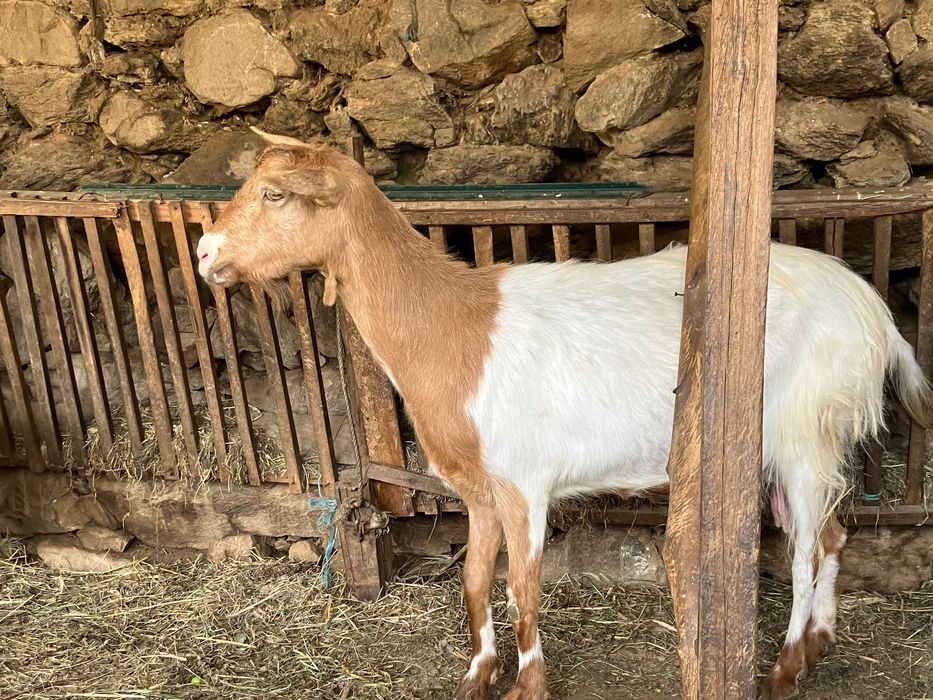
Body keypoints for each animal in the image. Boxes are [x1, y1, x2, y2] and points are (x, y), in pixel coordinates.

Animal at [196, 130, 932, 700]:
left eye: (275, 193)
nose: (205, 253)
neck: (455, 326)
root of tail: (874, 314)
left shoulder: (523, 479)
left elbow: (522, 584)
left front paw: (529, 683)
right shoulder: (476, 486)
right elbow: (472, 581)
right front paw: (476, 675)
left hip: (806, 429)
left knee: (806, 548)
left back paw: (782, 669)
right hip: (792, 444)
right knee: (832, 534)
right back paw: (818, 644)